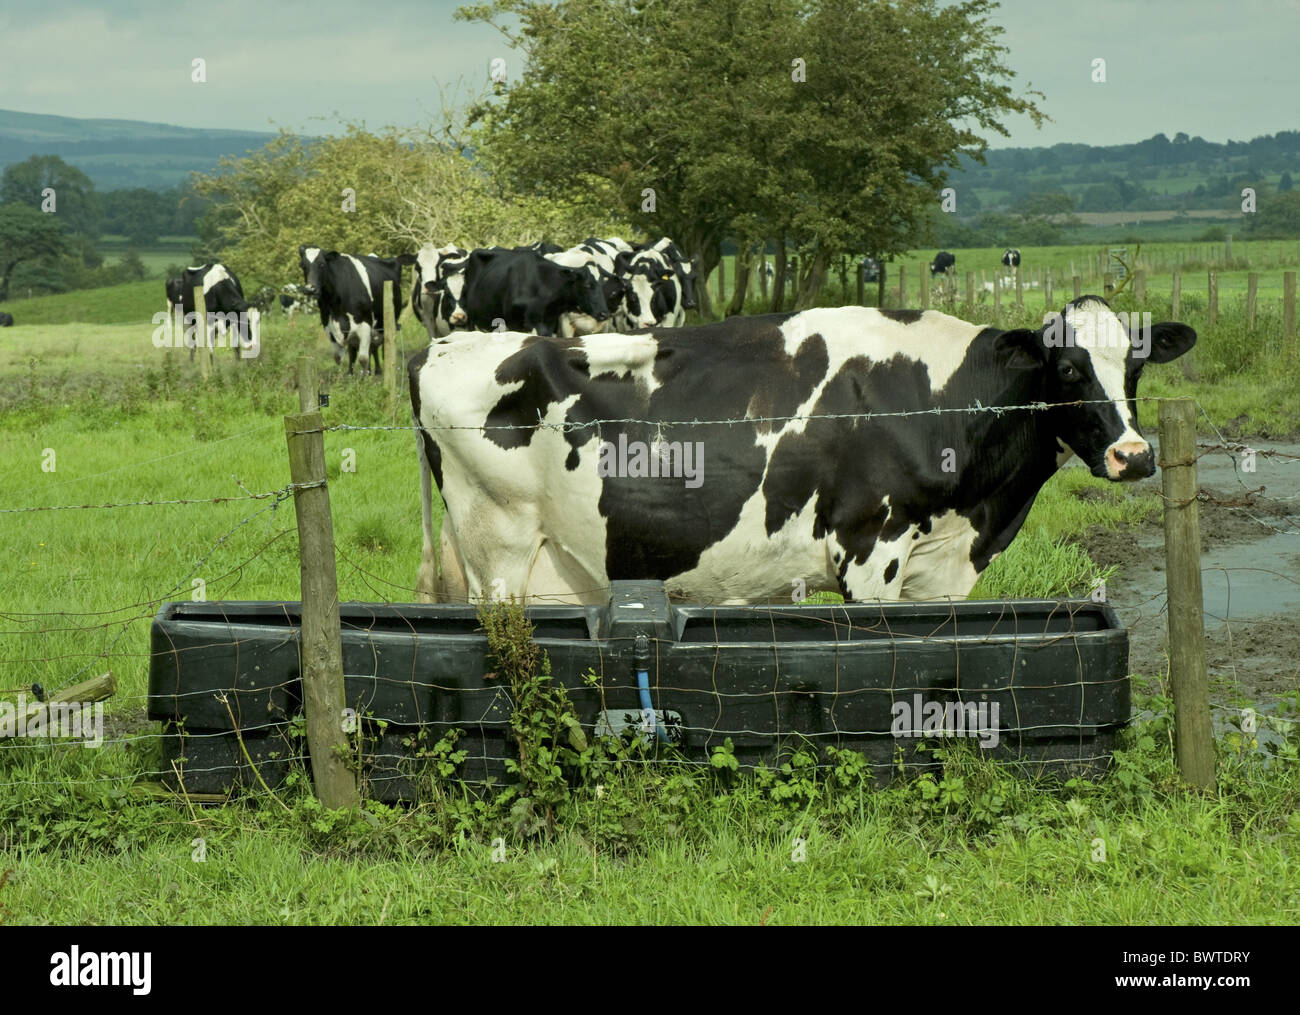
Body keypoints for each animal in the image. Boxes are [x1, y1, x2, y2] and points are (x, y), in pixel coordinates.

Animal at [408, 296, 1195, 606]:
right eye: (1067, 369)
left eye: (1136, 367)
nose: (1133, 455)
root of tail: (445, 343)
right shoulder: (870, 549)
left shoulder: (936, 570)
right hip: (500, 551)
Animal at [456, 247, 611, 337]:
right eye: (587, 285)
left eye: (603, 284)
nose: (604, 313)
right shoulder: (515, 324)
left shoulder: (548, 325)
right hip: (472, 321)